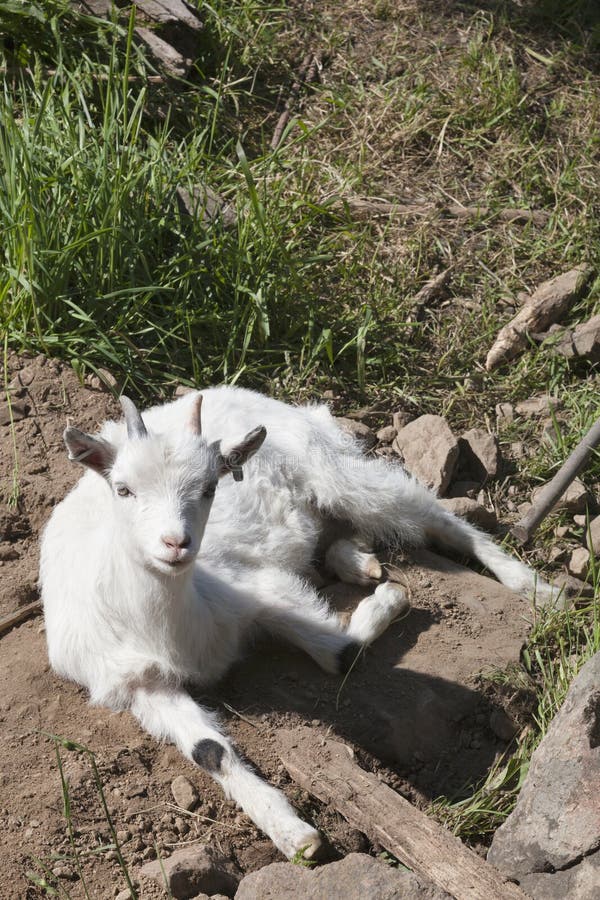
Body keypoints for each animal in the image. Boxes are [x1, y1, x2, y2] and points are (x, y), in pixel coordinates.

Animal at [40, 387, 554, 859]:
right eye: (123, 489)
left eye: (209, 488)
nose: (175, 544)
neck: (165, 626)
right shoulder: (138, 682)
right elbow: (209, 751)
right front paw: (292, 835)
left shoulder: (262, 586)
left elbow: (342, 654)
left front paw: (391, 599)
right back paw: (356, 561)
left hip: (338, 472)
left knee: (434, 516)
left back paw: (536, 586)